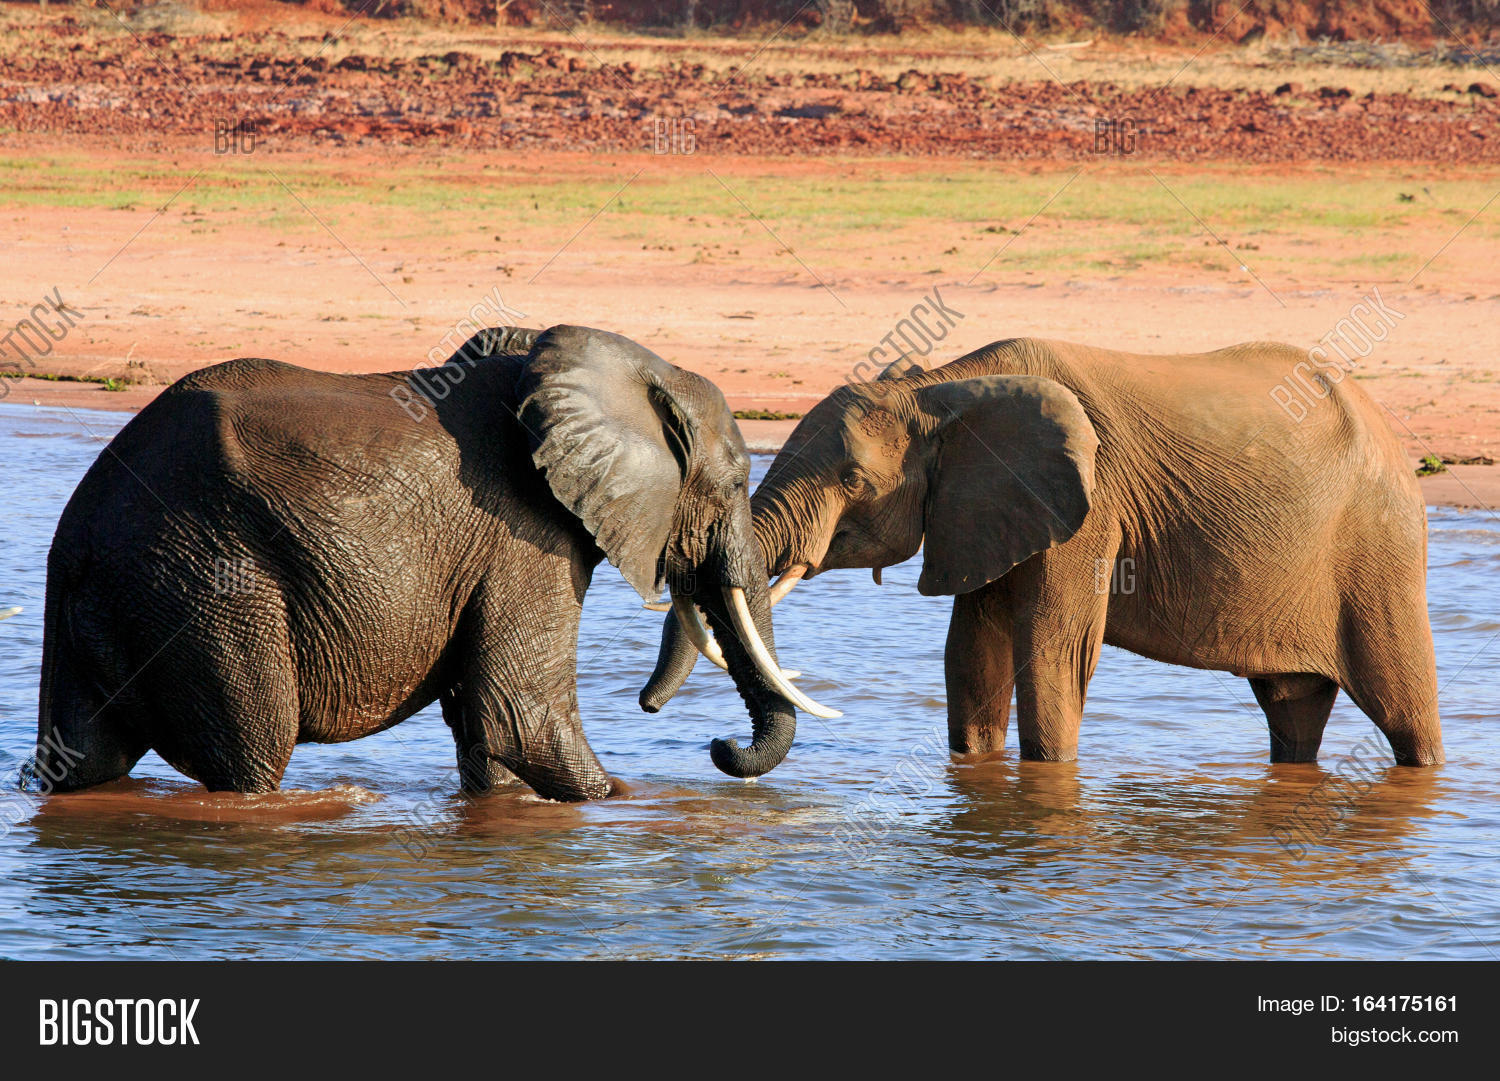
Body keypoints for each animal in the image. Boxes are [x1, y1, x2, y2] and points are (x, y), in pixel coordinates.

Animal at [30, 324, 835, 800]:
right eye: (736, 481)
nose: (717, 745)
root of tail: (77, 534)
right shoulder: (523, 533)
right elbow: (520, 715)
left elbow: (489, 730)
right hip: (204, 582)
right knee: (252, 752)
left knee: (87, 759)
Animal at [643, 336, 1444, 770]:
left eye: (852, 481)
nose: (715, 745)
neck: (940, 388)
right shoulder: (986, 511)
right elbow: (971, 651)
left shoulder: (1092, 504)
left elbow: (1054, 649)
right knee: (1292, 709)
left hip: (1378, 547)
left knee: (1403, 705)